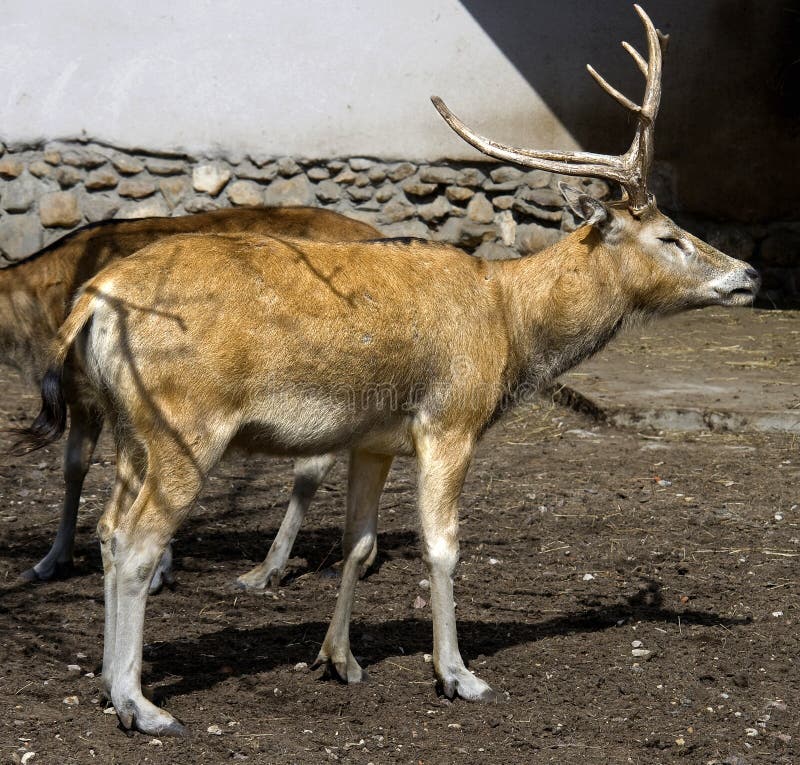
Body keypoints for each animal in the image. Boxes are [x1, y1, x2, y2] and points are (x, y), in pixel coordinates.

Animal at [2, 206, 380, 591]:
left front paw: (158, 572)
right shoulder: (85, 398)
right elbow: (74, 466)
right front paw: (49, 562)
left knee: (312, 465)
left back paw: (270, 569)